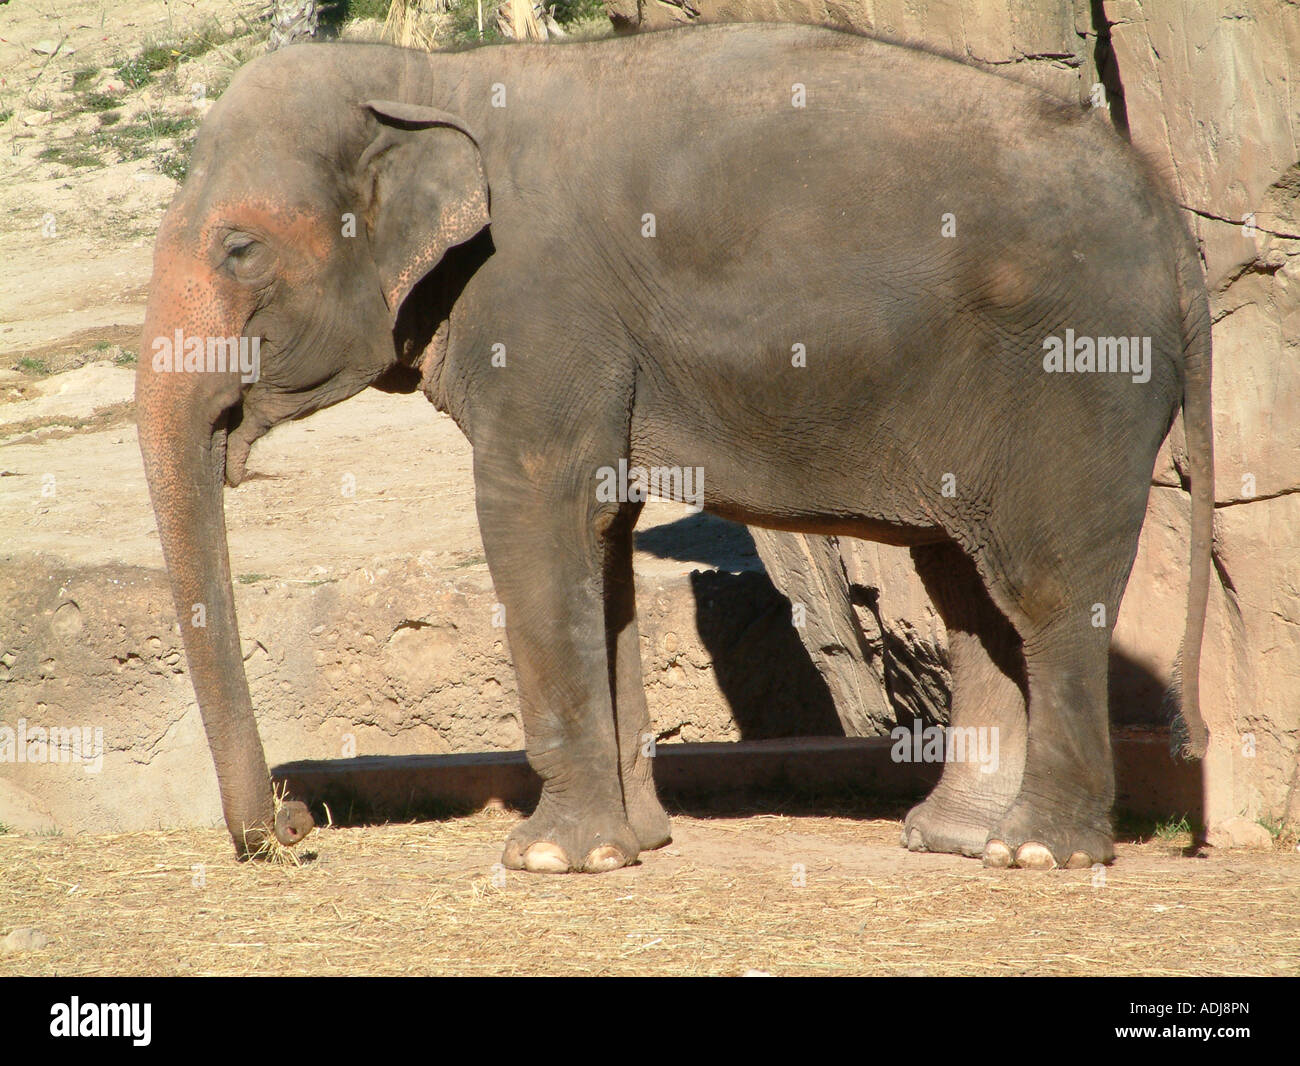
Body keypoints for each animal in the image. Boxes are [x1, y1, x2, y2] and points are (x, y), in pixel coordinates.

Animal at [135, 22, 1213, 873]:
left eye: (239, 249)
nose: (293, 820)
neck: (430, 79)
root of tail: (1170, 220)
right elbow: (598, 530)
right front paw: (636, 841)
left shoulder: (540, 303)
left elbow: (531, 511)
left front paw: (551, 859)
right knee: (965, 584)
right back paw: (954, 837)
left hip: (1077, 370)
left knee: (1044, 588)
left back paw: (1035, 850)